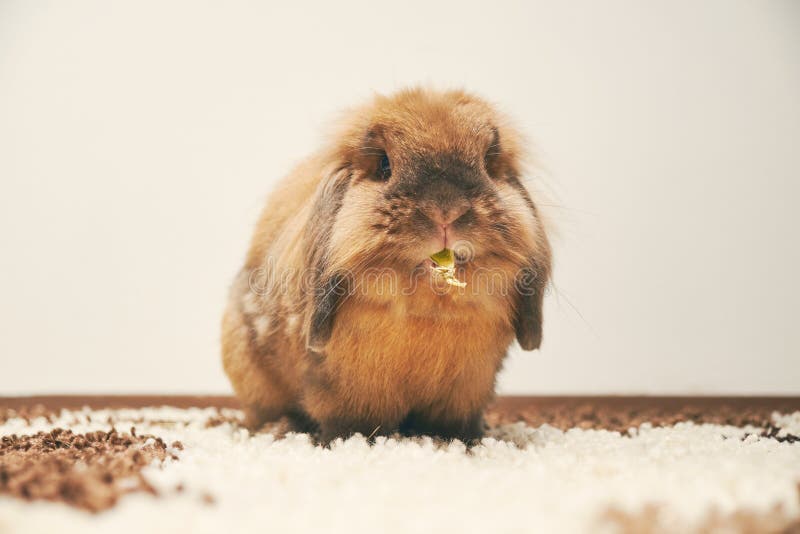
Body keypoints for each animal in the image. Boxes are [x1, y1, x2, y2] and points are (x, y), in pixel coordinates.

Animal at [221, 87, 551, 444]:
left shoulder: (469, 386)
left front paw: (465, 439)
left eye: (488, 162)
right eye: (384, 164)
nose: (446, 211)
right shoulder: (343, 387)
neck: (428, 311)